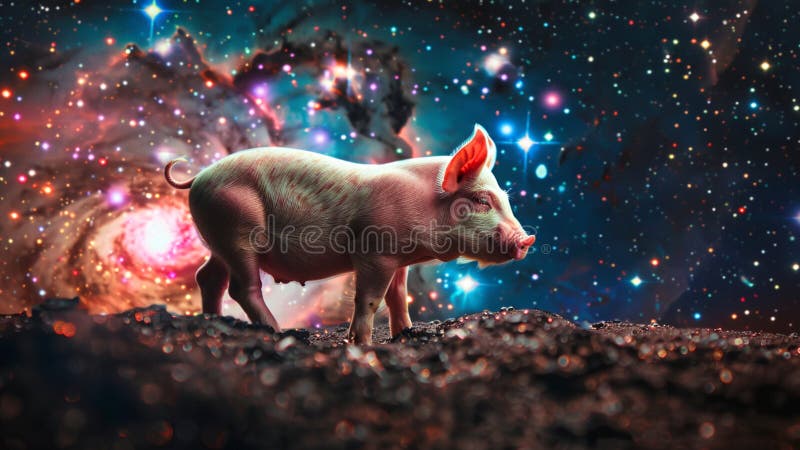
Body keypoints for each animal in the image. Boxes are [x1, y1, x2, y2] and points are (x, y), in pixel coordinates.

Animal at [165, 124, 535, 344]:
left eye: (505, 198)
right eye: (482, 200)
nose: (528, 240)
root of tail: (198, 177)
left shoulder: (400, 260)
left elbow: (398, 296)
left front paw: (406, 334)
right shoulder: (374, 252)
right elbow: (369, 299)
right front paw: (361, 344)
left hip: (218, 239)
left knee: (207, 277)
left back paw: (214, 321)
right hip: (238, 231)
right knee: (243, 287)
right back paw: (278, 332)